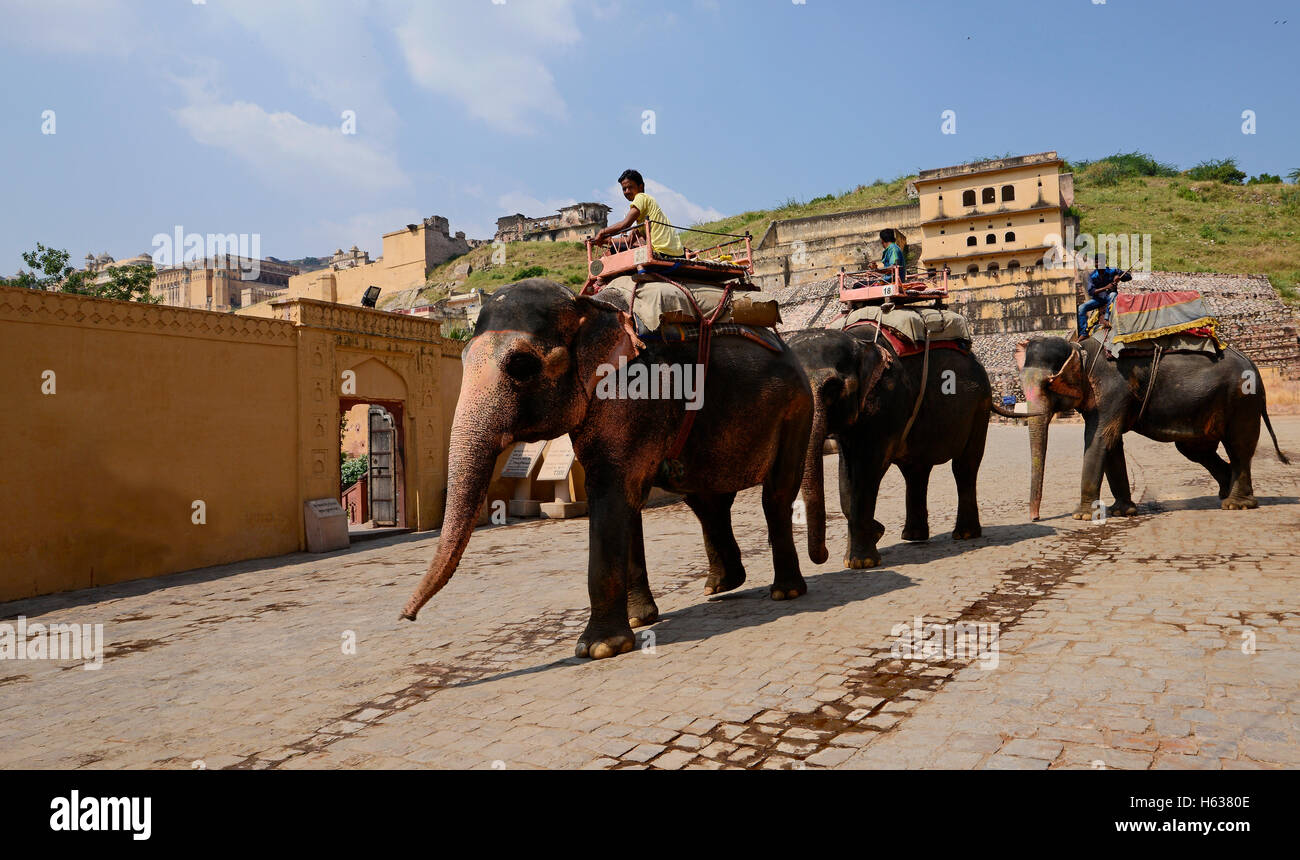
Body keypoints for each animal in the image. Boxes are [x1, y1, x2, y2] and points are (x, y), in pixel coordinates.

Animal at [400, 279, 814, 660]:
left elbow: (612, 491)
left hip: (796, 409)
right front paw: (638, 620)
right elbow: (627, 499)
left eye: (521, 365)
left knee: (774, 495)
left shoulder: (632, 394)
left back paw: (785, 591)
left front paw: (599, 648)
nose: (407, 617)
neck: (588, 307)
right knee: (705, 500)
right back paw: (721, 585)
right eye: (462, 358)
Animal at [787, 325, 993, 570]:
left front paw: (862, 561)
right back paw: (913, 536)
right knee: (916, 472)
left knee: (964, 467)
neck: (857, 341)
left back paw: (964, 534)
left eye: (832, 388)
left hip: (980, 407)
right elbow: (846, 474)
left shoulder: (886, 403)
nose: (824, 555)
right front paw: (874, 534)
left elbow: (868, 468)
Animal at [1014, 335, 1290, 521]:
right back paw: (1225, 493)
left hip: (1242, 400)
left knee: (1239, 446)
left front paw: (1081, 516)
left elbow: (1099, 438)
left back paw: (1236, 504)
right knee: (1195, 450)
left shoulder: (1113, 387)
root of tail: (1252, 362)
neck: (1080, 347)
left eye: (1049, 384)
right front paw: (1122, 511)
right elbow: (1112, 441)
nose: (1035, 518)